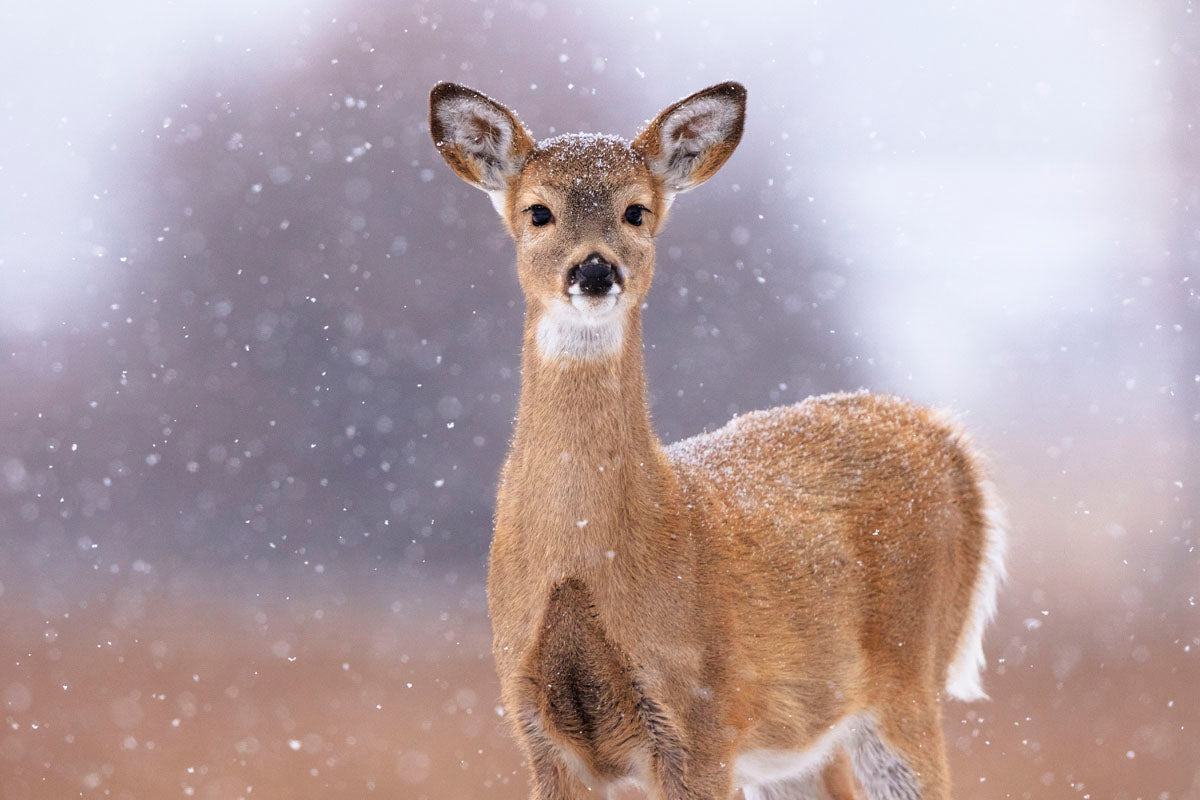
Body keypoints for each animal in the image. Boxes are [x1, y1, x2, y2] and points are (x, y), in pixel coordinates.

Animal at [428, 80, 1006, 800]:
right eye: (538, 211)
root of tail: (948, 441)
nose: (595, 270)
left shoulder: (702, 713)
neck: (588, 557)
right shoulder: (537, 725)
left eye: (637, 211)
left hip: (907, 673)